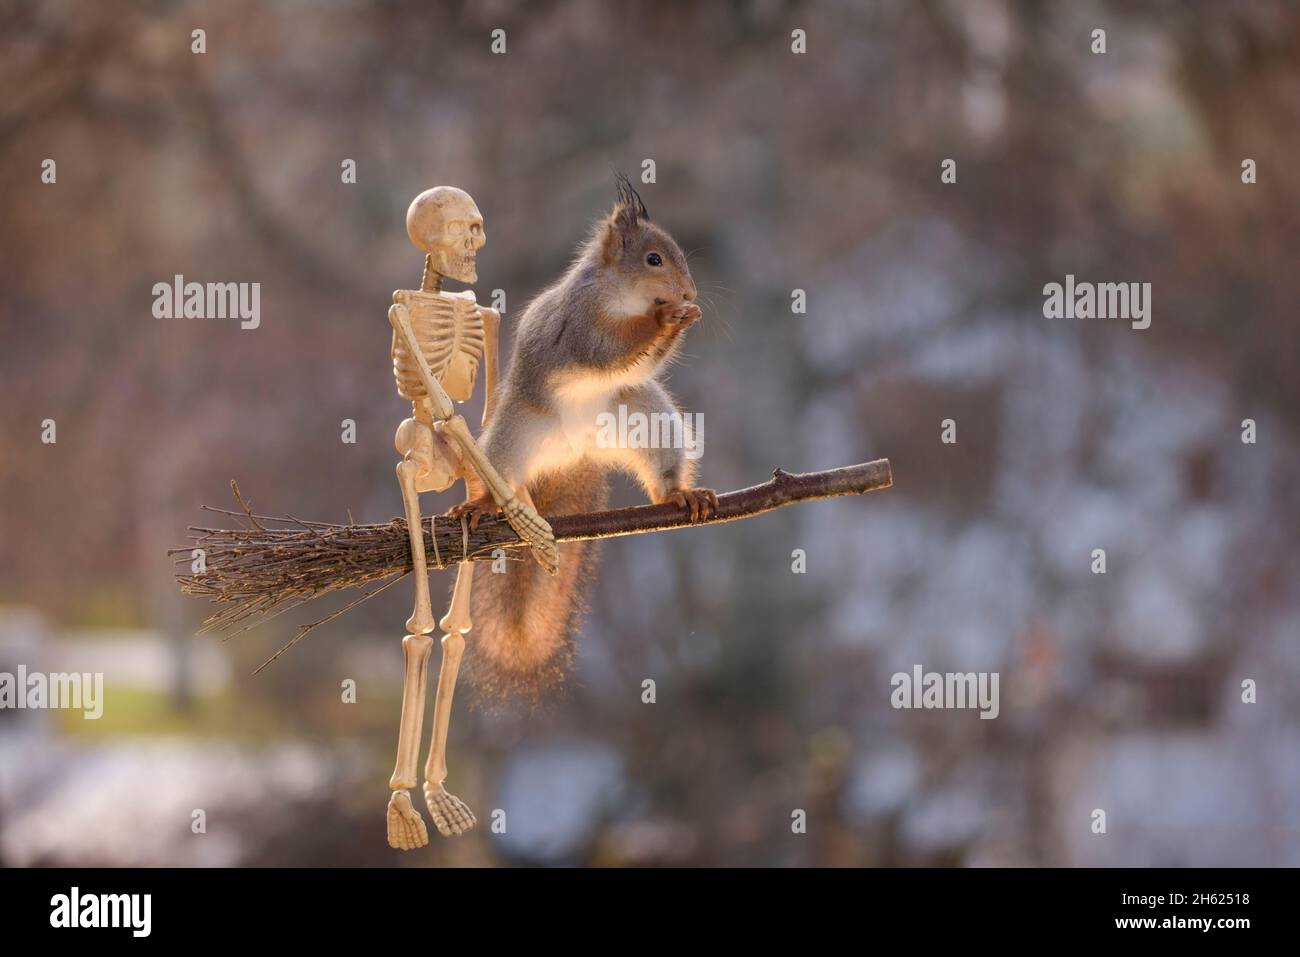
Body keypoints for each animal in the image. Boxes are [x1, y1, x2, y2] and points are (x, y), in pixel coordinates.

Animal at [447, 174, 716, 700]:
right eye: (654, 259)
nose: (689, 290)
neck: (623, 296)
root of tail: (575, 453)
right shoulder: (580, 326)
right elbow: (608, 349)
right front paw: (664, 319)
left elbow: (642, 362)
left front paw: (686, 315)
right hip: (515, 430)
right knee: (500, 471)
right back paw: (485, 501)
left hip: (644, 414)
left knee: (659, 462)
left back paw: (679, 494)